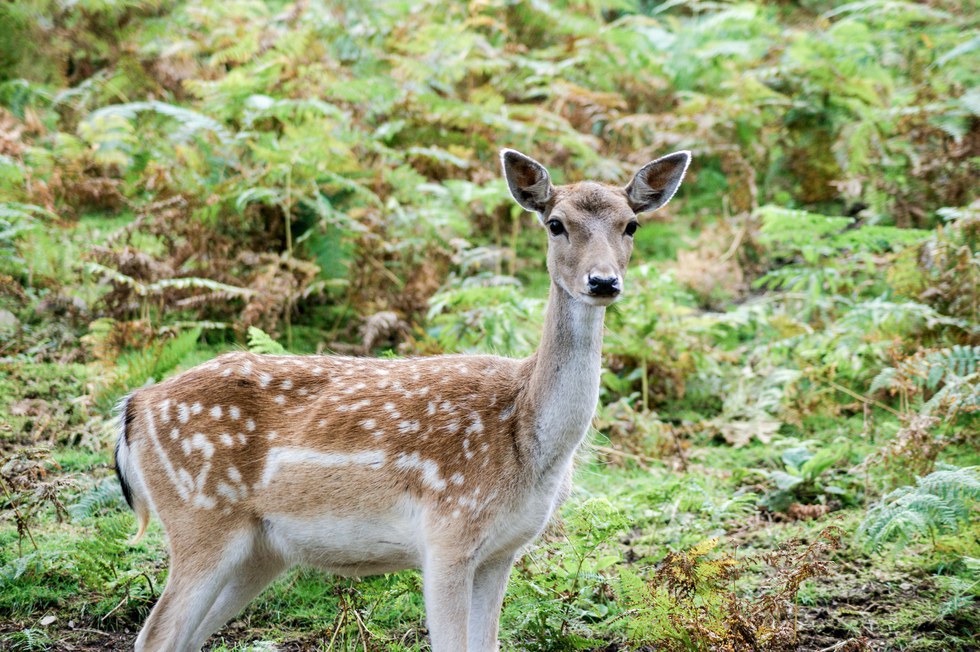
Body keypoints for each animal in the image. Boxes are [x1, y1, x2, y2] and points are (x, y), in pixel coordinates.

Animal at [114, 147, 691, 651]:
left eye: (631, 225)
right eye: (556, 224)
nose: (603, 281)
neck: (529, 442)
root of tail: (135, 408)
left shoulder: (503, 550)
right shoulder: (447, 535)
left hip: (261, 550)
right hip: (200, 517)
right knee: (155, 634)